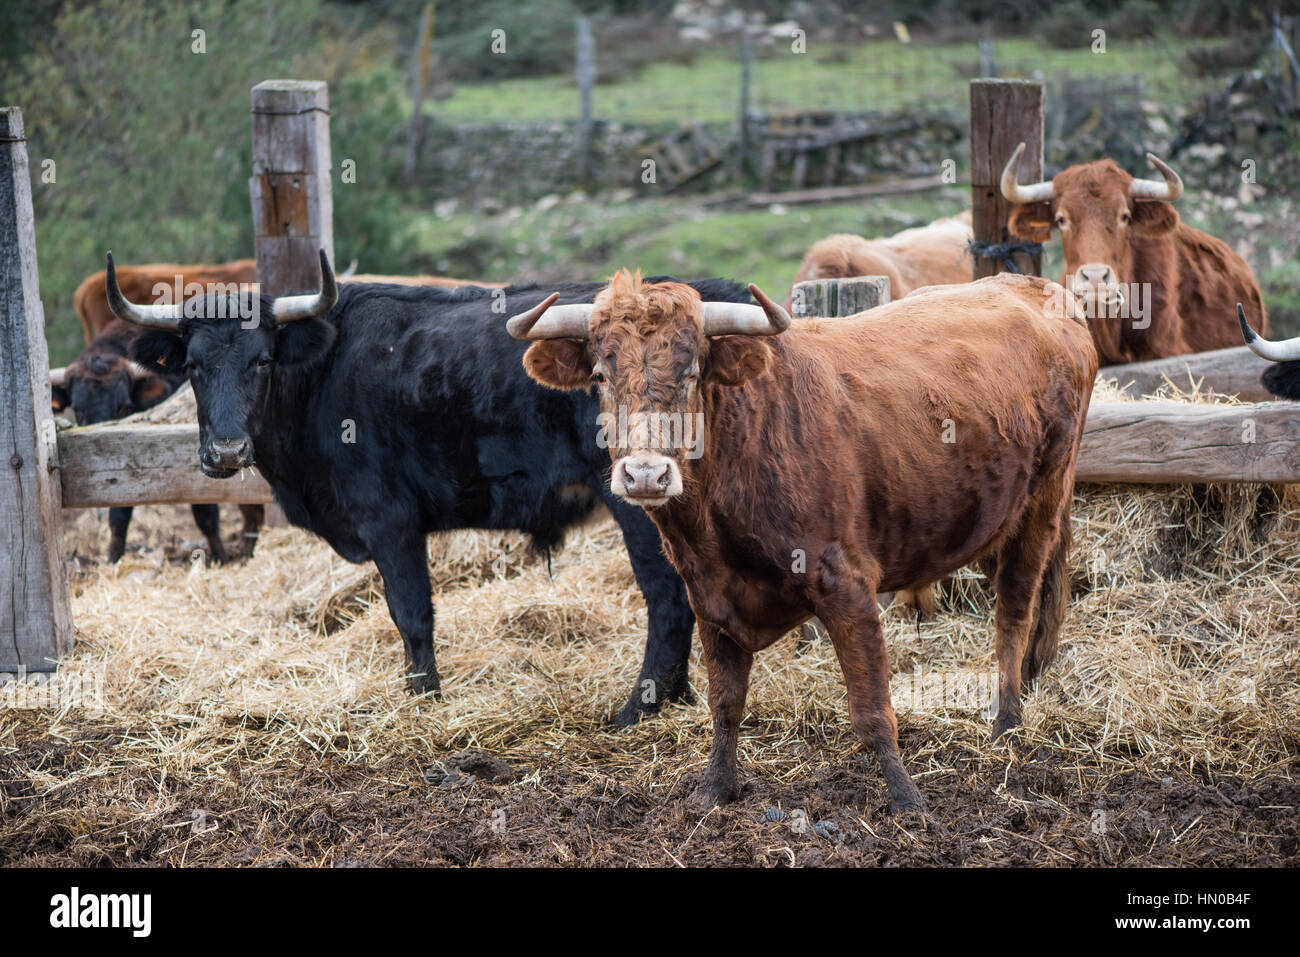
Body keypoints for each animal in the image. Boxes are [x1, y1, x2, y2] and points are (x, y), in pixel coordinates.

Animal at [50, 319, 247, 563]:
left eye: (123, 406)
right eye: (77, 409)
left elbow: (205, 512)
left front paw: (220, 556)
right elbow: (119, 515)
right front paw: (114, 557)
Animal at [104, 251, 753, 725]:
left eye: (261, 361)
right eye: (192, 366)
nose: (226, 452)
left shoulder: (388, 520)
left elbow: (411, 612)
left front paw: (423, 698)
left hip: (641, 503)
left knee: (668, 601)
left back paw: (637, 710)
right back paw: (678, 698)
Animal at [510, 269, 1098, 812]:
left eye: (692, 370)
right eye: (601, 374)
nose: (645, 475)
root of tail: (1035, 287)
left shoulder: (848, 585)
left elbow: (871, 709)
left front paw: (907, 800)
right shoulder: (709, 598)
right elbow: (725, 703)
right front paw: (715, 789)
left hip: (1043, 502)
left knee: (1014, 610)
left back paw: (1007, 724)